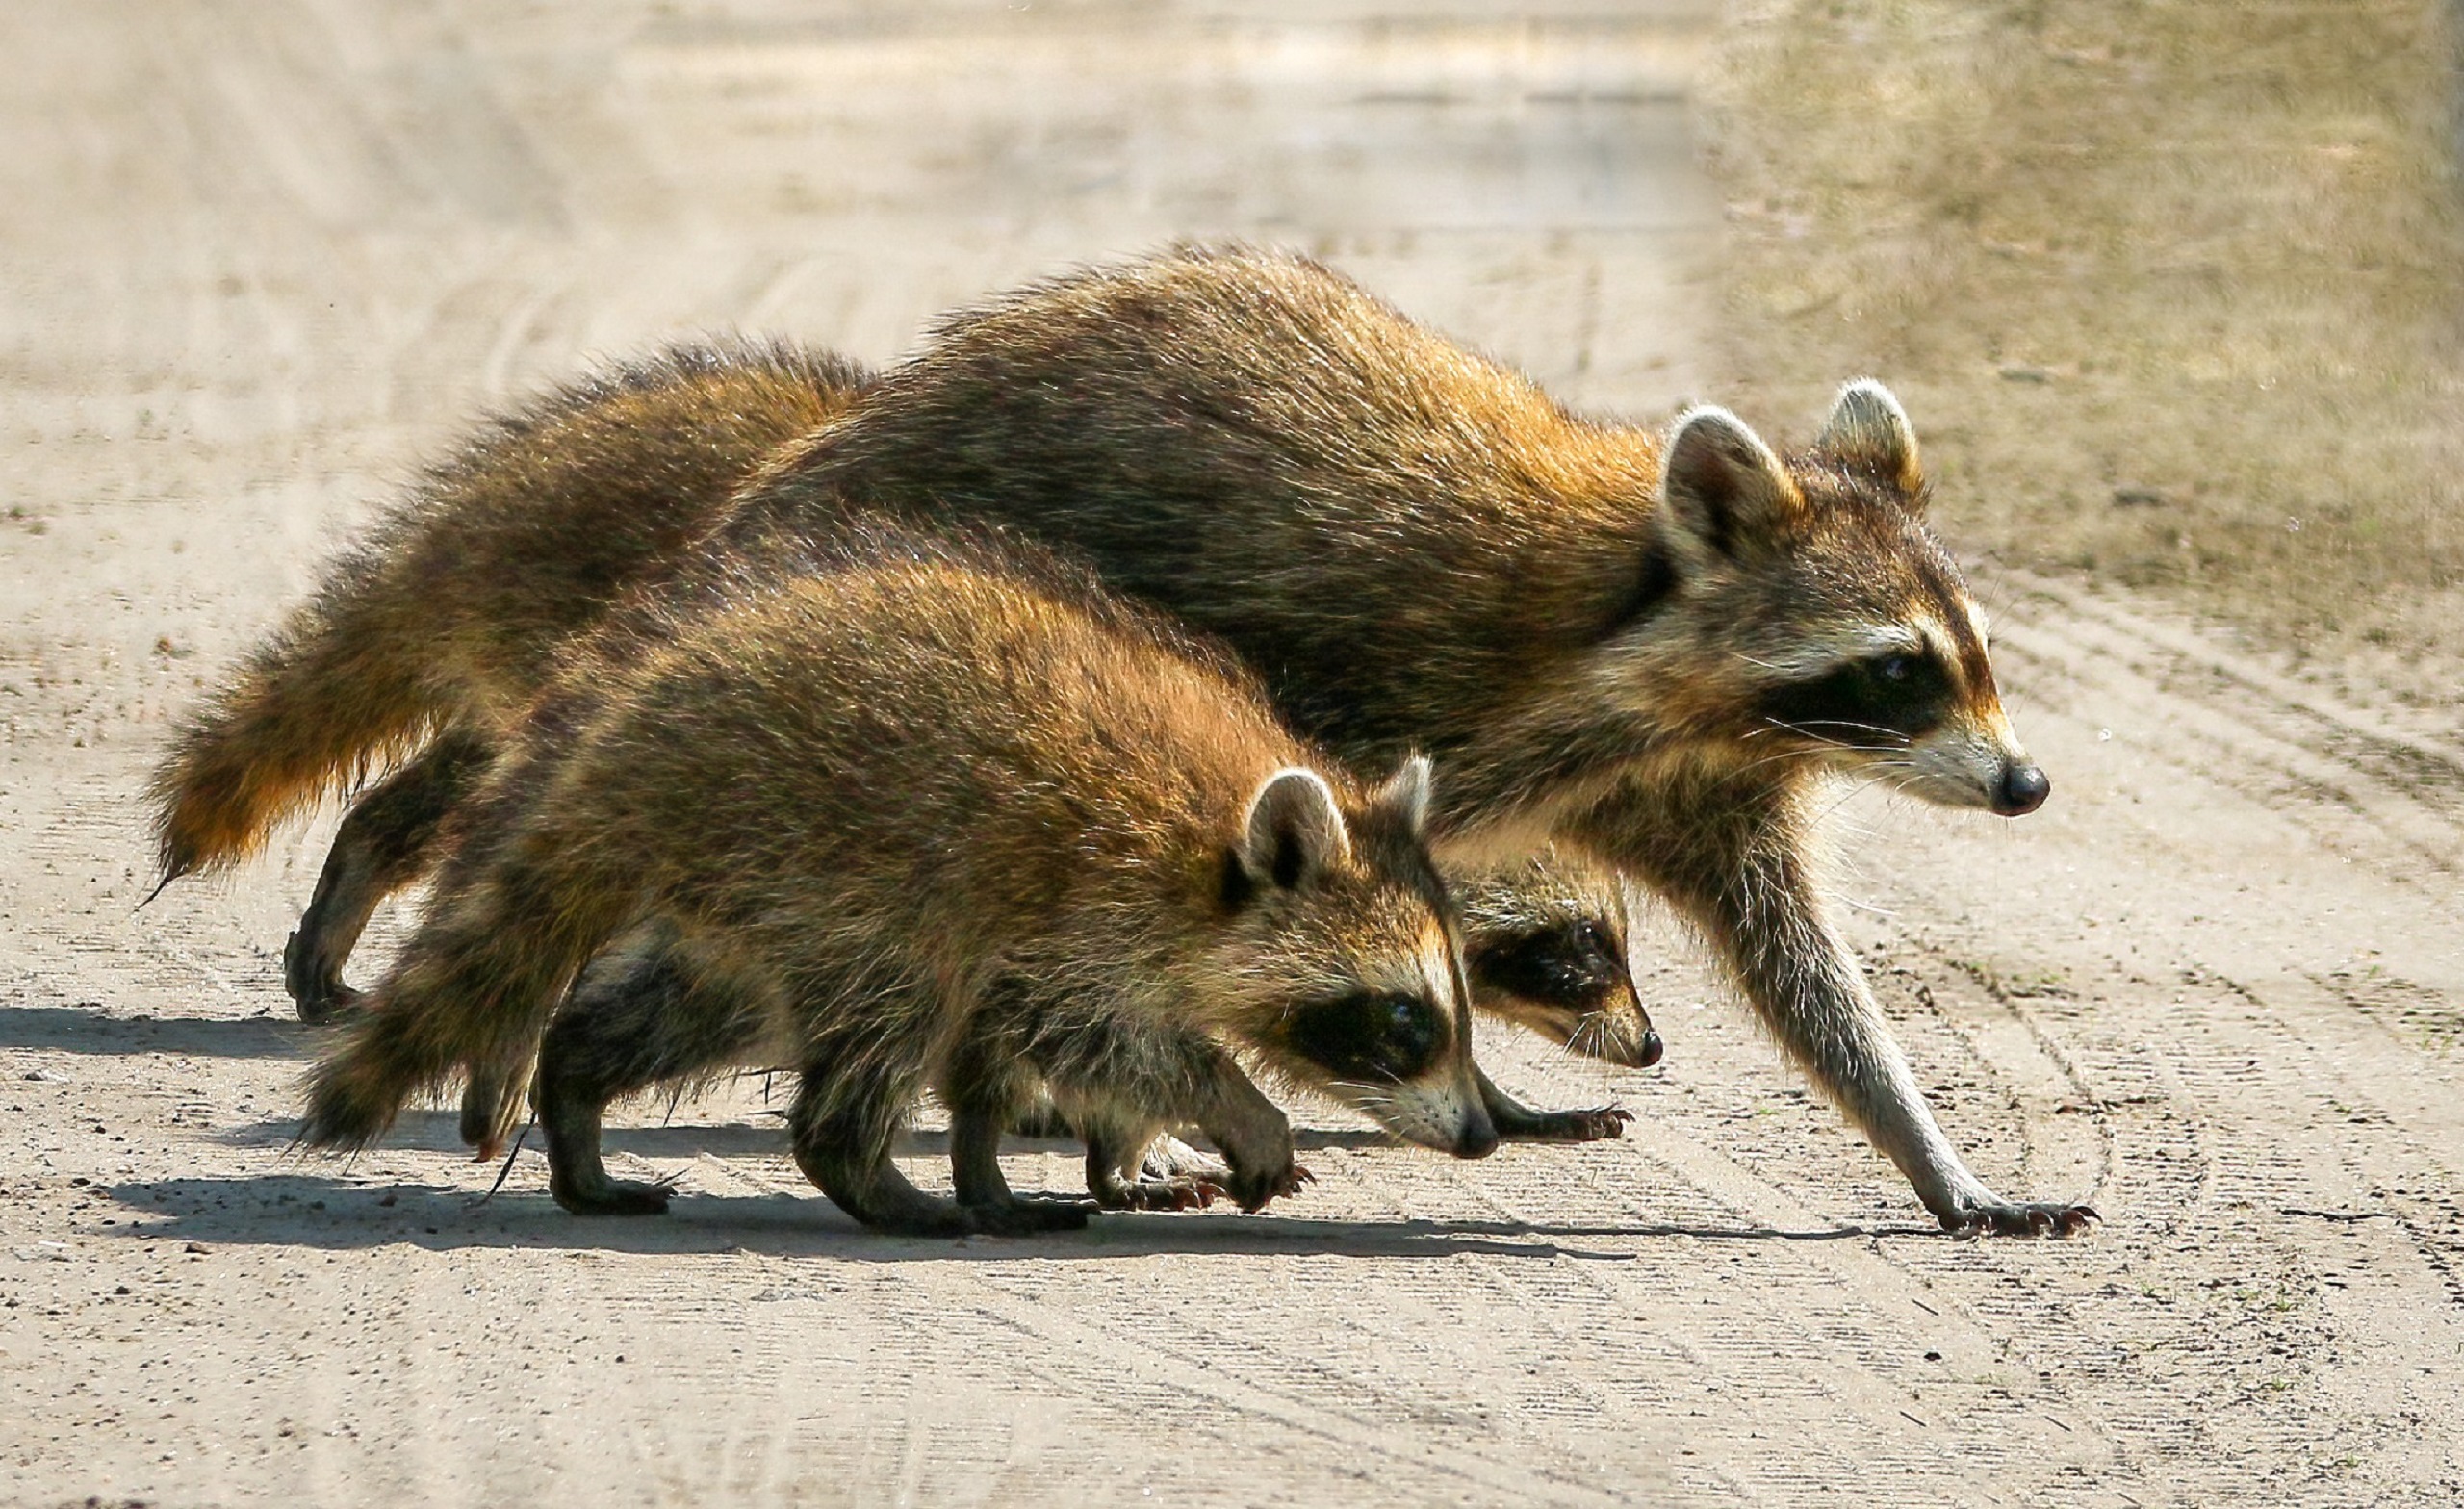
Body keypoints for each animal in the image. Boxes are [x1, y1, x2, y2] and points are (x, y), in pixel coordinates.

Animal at [298, 532, 1499, 1236]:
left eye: (1458, 1002)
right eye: (1403, 1020)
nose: (1485, 1134)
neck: (1216, 842)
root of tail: (637, 734)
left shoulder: (1037, 927)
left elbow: (1004, 1055)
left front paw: (1038, 1165)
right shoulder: (1084, 898)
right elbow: (1102, 1038)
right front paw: (1233, 1105)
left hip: (754, 897)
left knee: (692, 1008)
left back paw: (579, 1092)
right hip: (837, 857)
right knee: (886, 1011)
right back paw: (864, 1171)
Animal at [702, 246, 2088, 1235]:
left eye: (1980, 650)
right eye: (1900, 668)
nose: (2027, 785)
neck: (1662, 667)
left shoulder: (1700, 785)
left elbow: (1800, 971)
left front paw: (1928, 1151)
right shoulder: (1392, 703)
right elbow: (1256, 929)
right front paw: (1152, 1123)